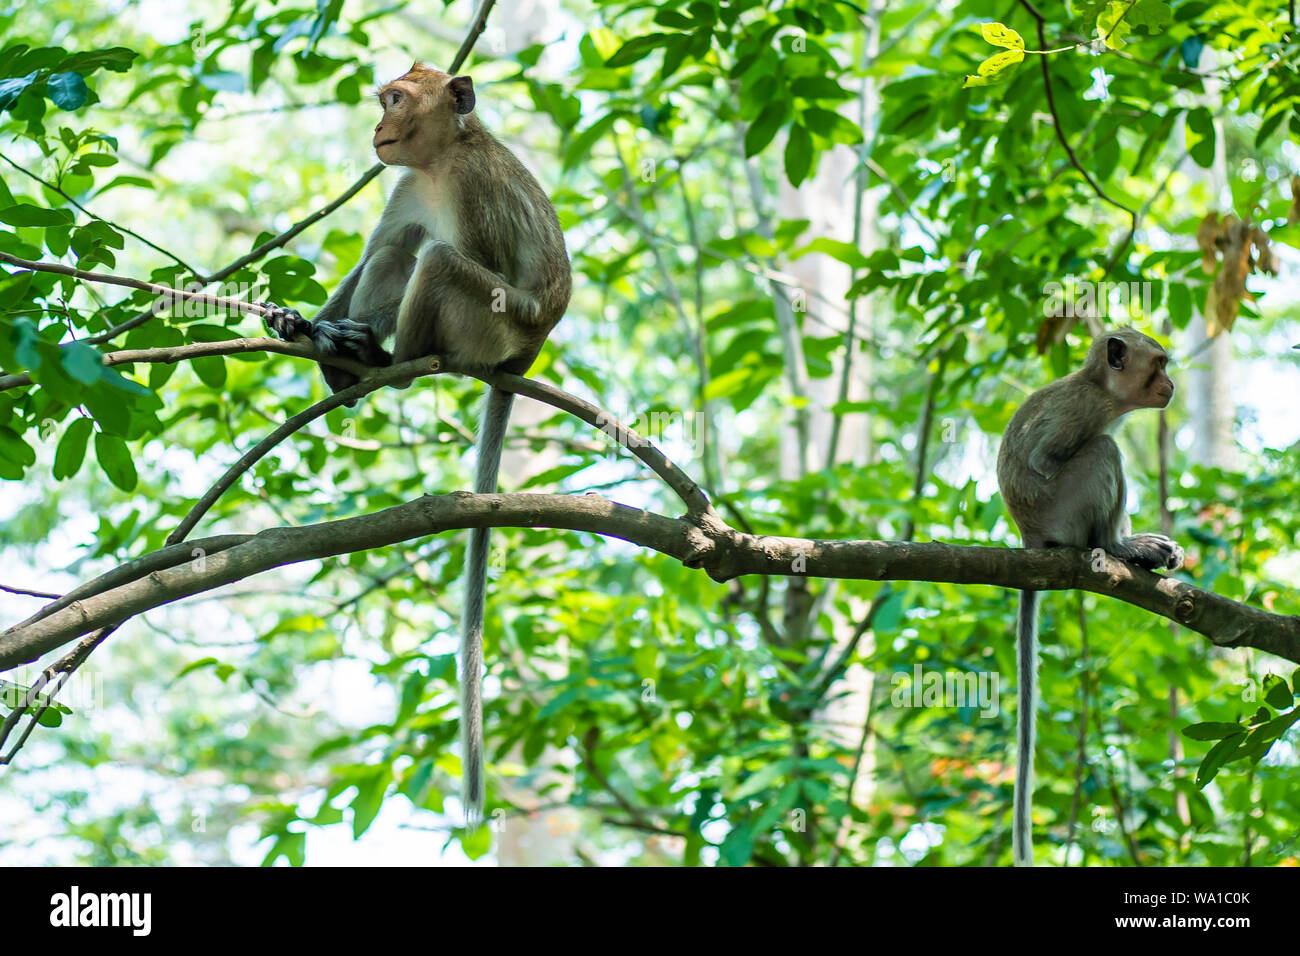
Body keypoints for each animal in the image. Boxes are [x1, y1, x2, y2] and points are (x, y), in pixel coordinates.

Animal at [261, 64, 571, 828]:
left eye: (395, 100)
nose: (377, 127)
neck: (439, 162)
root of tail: (528, 352)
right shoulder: (402, 184)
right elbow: (379, 246)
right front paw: (303, 322)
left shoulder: (476, 190)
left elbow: (478, 262)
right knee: (400, 249)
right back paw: (343, 358)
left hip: (494, 330)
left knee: (438, 261)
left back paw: (387, 360)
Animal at [996, 327, 1183, 867]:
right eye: (1159, 363)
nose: (1171, 384)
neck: (1102, 389)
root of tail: (1029, 535)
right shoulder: (1081, 411)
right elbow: (1047, 458)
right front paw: (1125, 543)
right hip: (1061, 510)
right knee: (1103, 452)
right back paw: (1118, 546)